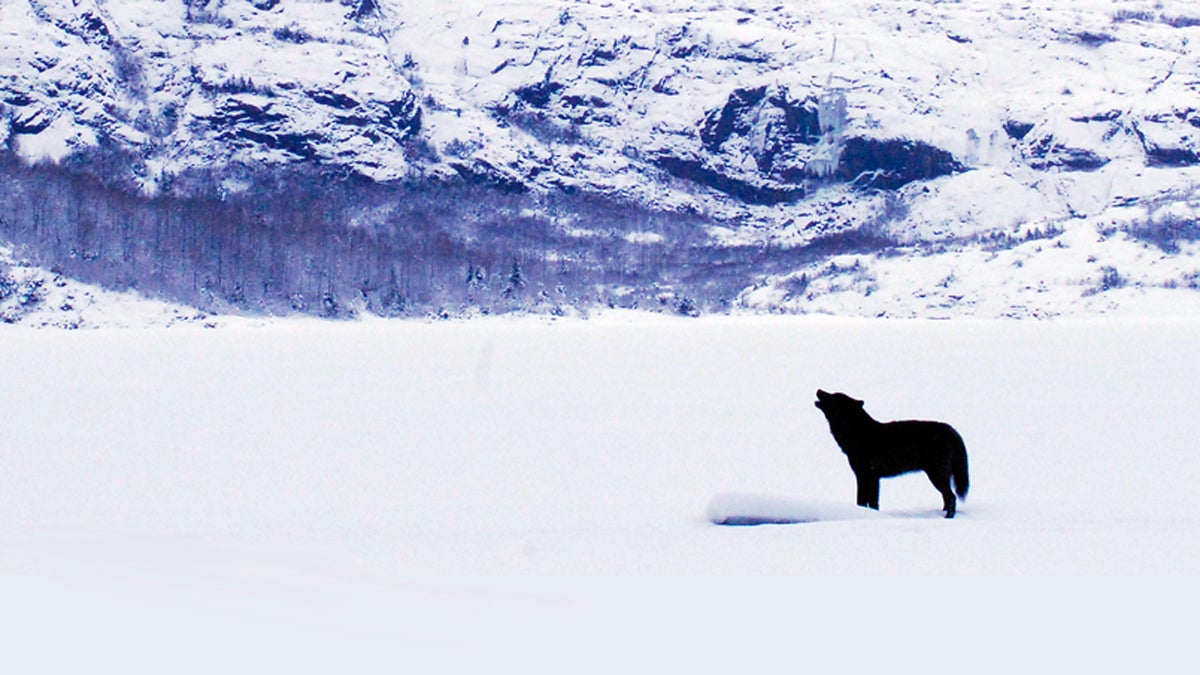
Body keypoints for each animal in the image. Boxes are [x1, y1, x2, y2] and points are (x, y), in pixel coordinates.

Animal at [814, 390, 969, 518]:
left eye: (834, 396)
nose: (819, 389)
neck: (859, 433)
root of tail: (952, 431)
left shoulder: (864, 476)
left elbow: (861, 501)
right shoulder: (874, 478)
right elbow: (874, 503)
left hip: (936, 475)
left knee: (951, 497)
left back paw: (948, 517)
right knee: (946, 497)